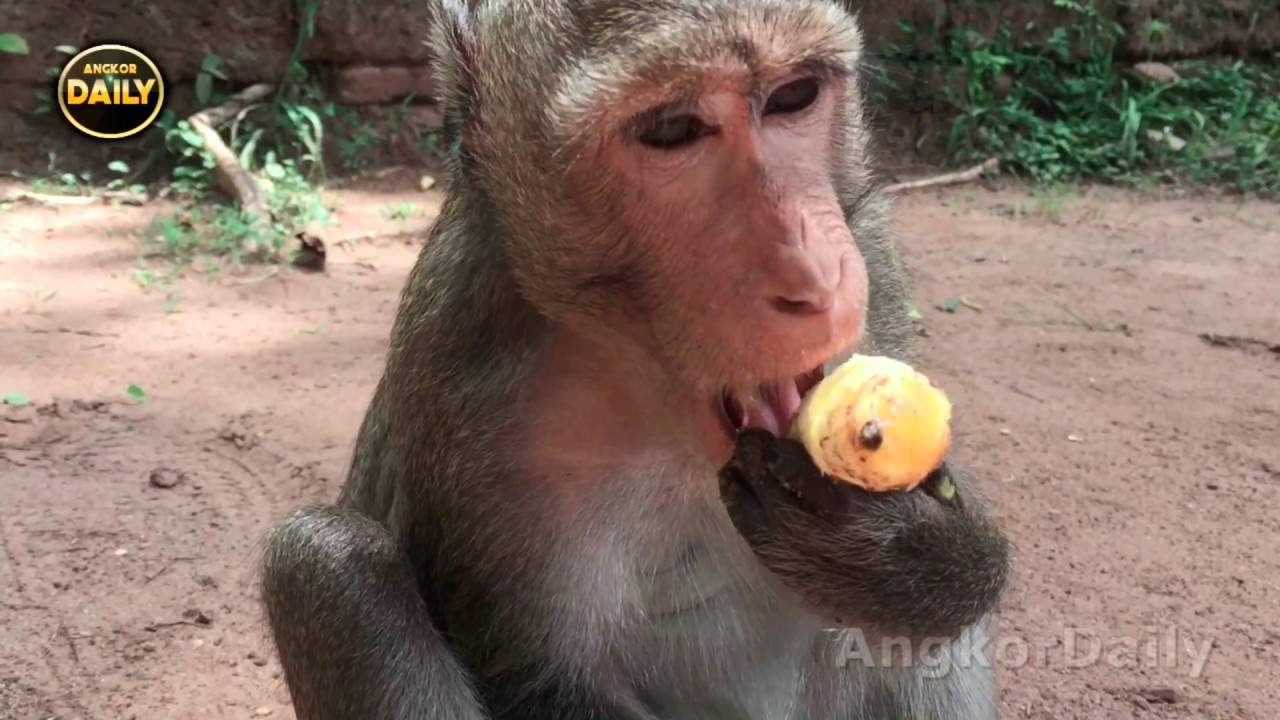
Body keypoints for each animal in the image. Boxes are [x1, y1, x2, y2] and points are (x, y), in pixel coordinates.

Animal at [260, 0, 1012, 718]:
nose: (817, 277)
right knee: (326, 565)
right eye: (673, 131)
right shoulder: (456, 376)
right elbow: (540, 681)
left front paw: (911, 555)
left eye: (793, 96)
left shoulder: (872, 255)